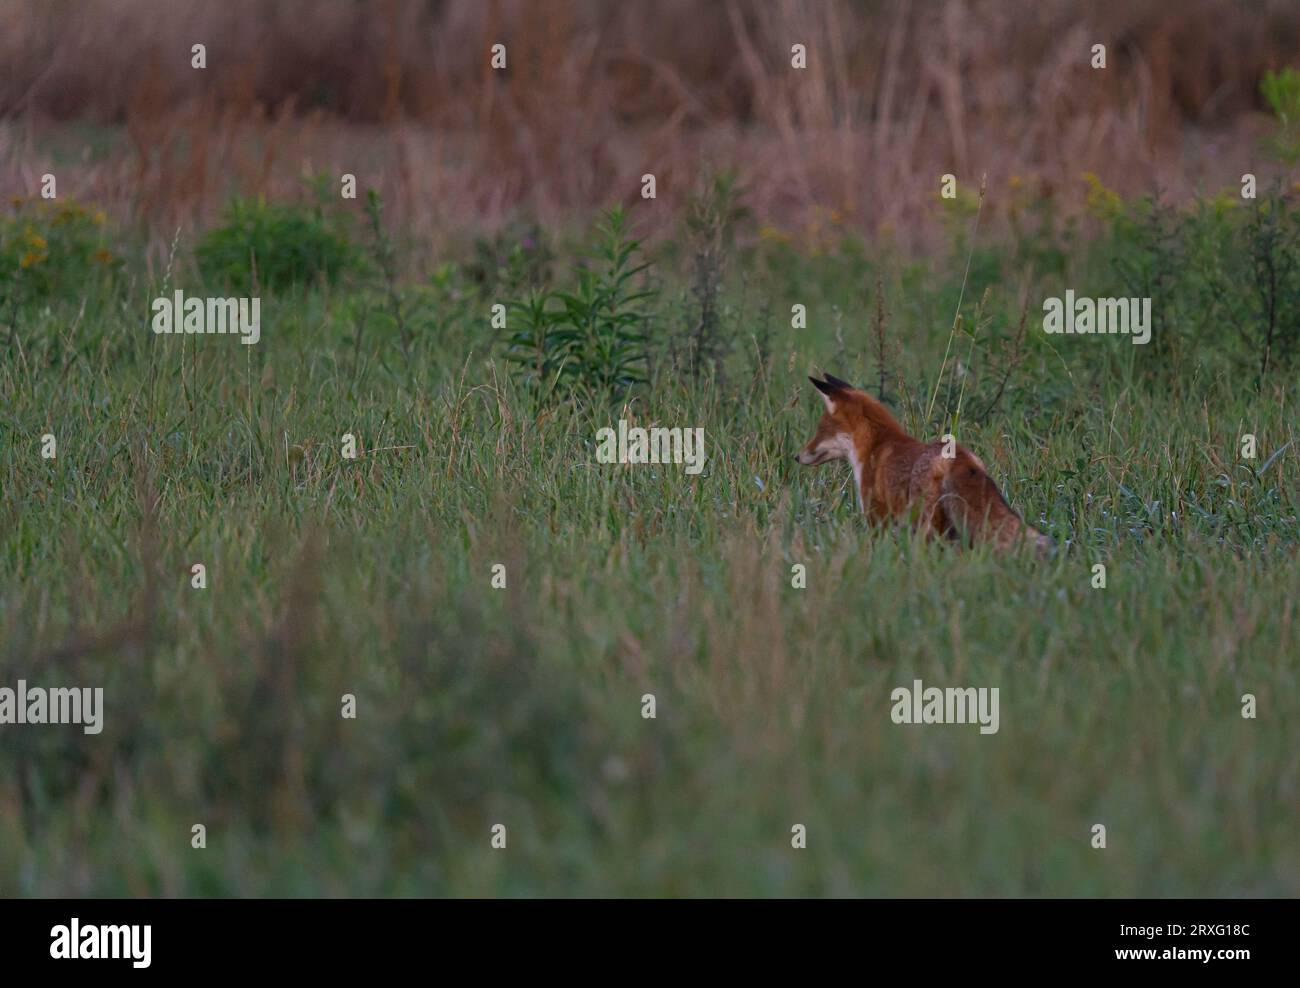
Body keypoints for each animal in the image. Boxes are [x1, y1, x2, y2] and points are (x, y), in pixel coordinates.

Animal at [796, 374, 1052, 553]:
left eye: (820, 429)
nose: (797, 457)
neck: (876, 445)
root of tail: (960, 458)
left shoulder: (876, 516)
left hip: (927, 528)